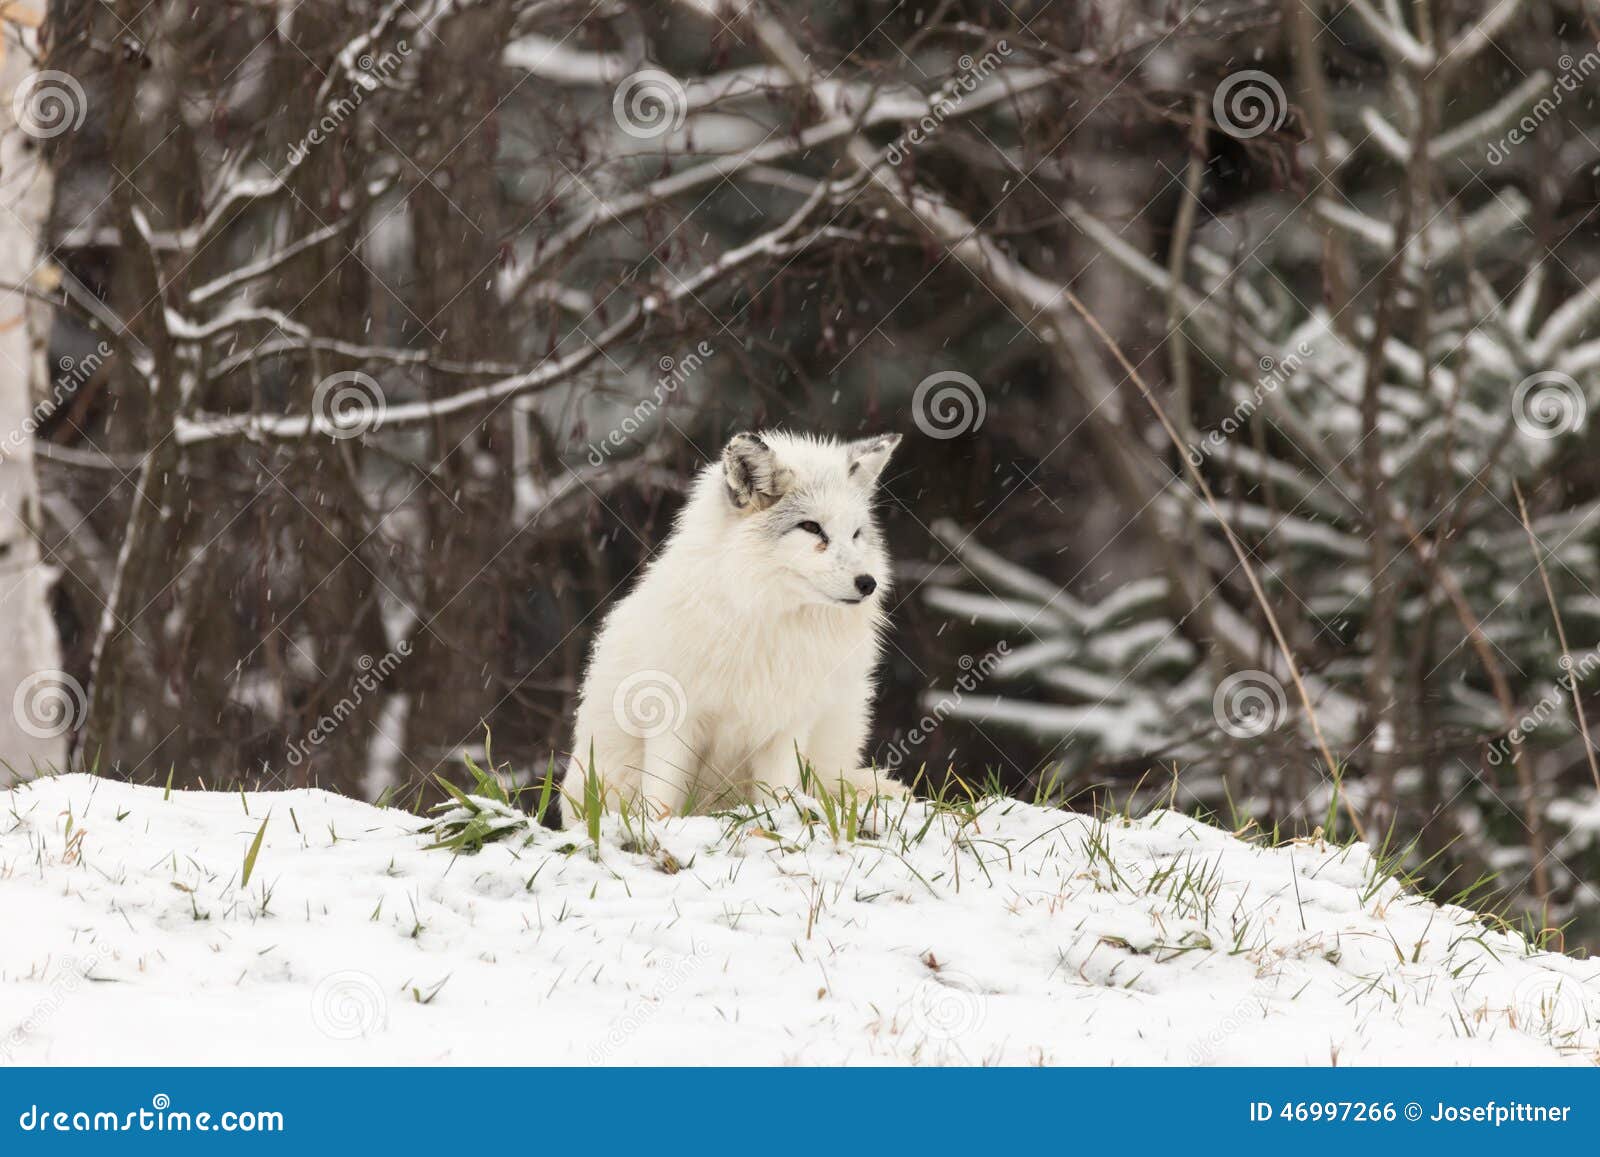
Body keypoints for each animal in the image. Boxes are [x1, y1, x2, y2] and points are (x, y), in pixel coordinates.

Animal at [561, 429, 908, 824]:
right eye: (811, 527)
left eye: (856, 534)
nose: (868, 583)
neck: (765, 621)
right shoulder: (675, 719)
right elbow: (662, 798)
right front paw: (657, 829)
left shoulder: (786, 727)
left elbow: (779, 796)